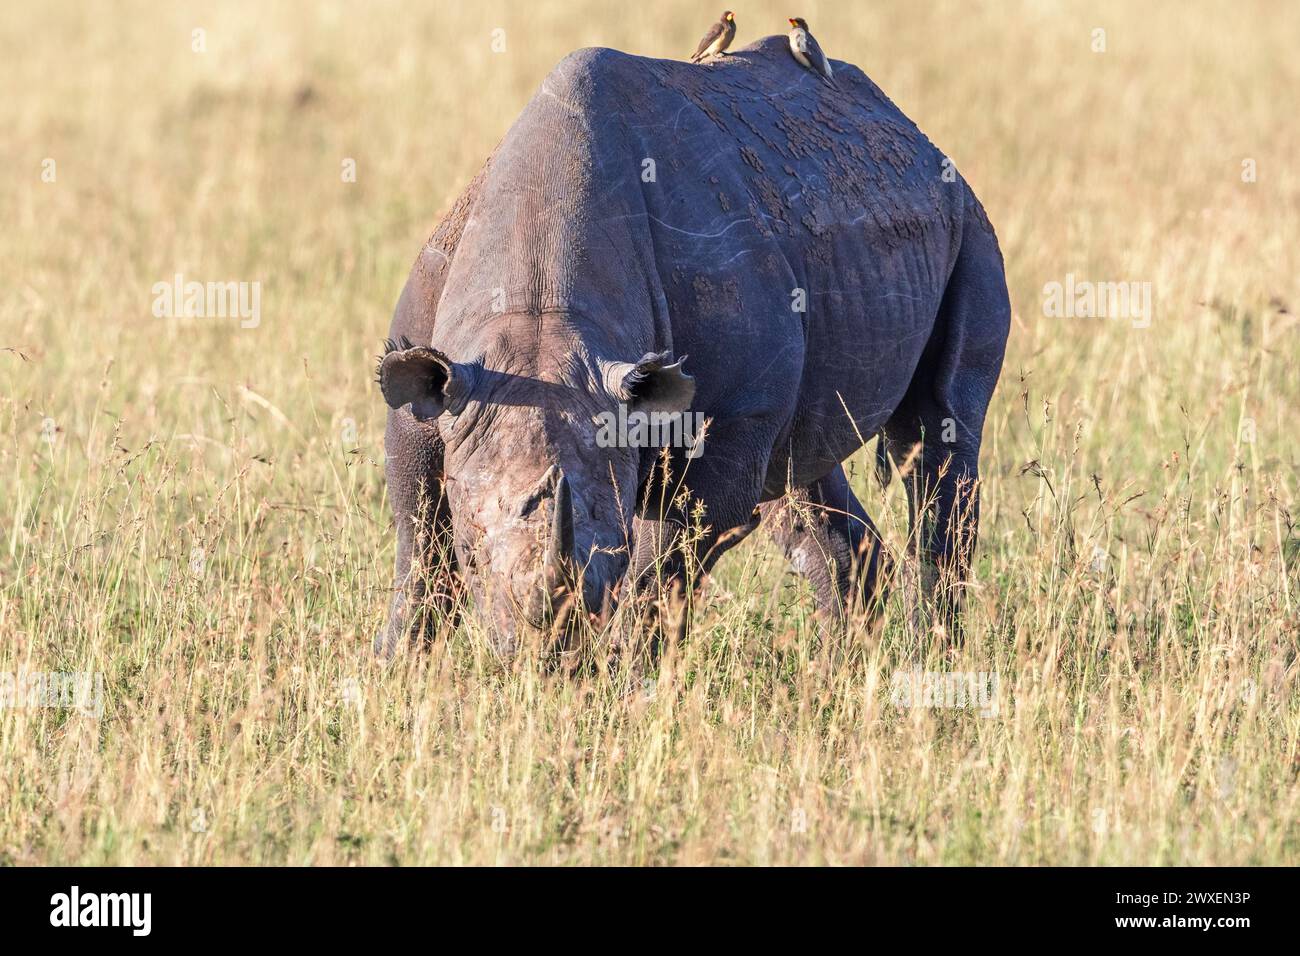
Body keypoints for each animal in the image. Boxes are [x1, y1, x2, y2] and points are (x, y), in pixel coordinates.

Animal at [375, 36, 1010, 657]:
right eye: (474, 555)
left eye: (612, 544)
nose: (547, 653)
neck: (539, 306)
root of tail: (911, 132)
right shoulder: (435, 380)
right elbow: (420, 537)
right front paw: (399, 663)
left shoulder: (729, 419)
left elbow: (662, 564)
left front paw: (626, 672)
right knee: (806, 466)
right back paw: (841, 668)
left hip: (969, 223)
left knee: (936, 435)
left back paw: (929, 658)